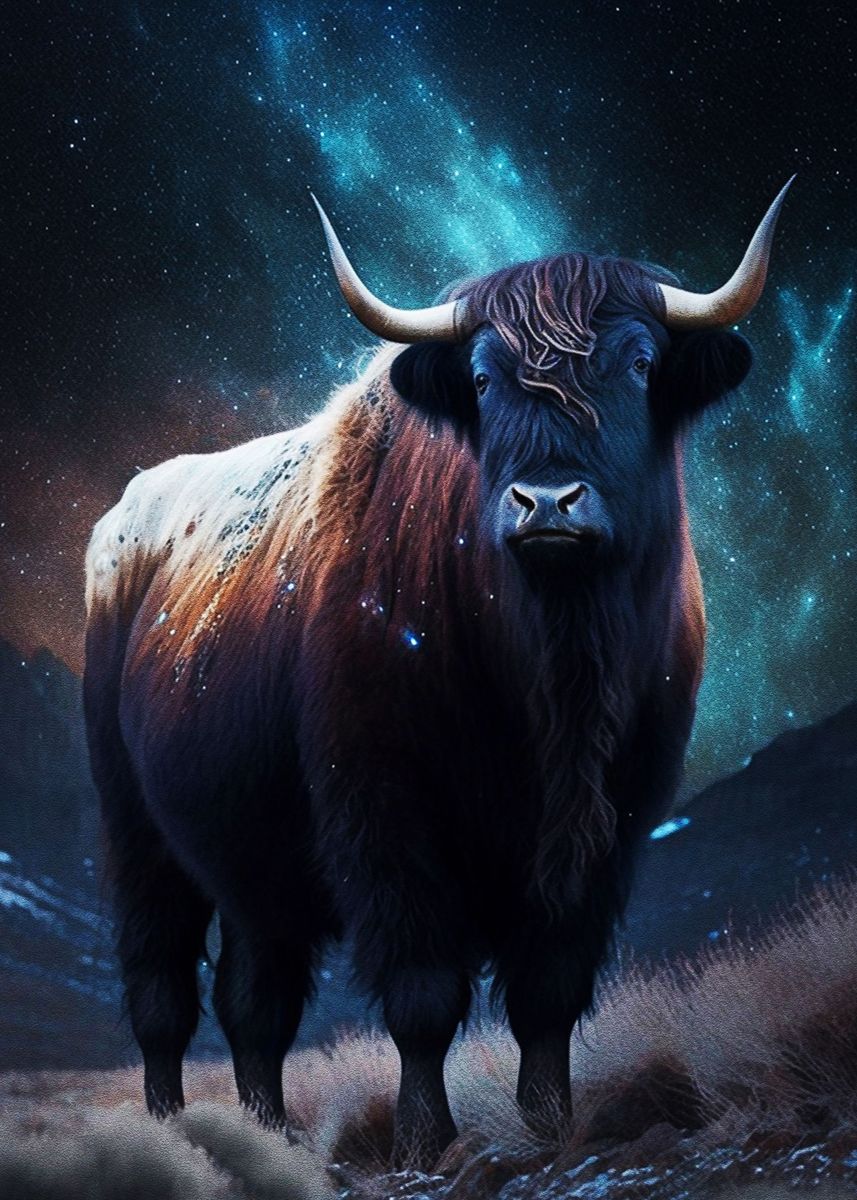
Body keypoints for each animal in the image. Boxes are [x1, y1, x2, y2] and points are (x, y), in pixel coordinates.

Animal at [83, 180, 791, 1165]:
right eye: (485, 378)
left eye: (641, 363)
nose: (547, 503)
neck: (548, 671)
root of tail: (125, 516)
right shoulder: (384, 812)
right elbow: (423, 992)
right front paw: (425, 1141)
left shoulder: (606, 829)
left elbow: (547, 993)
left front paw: (550, 1125)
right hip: (138, 835)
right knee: (163, 993)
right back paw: (174, 1134)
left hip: (254, 869)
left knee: (255, 1000)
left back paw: (270, 1132)